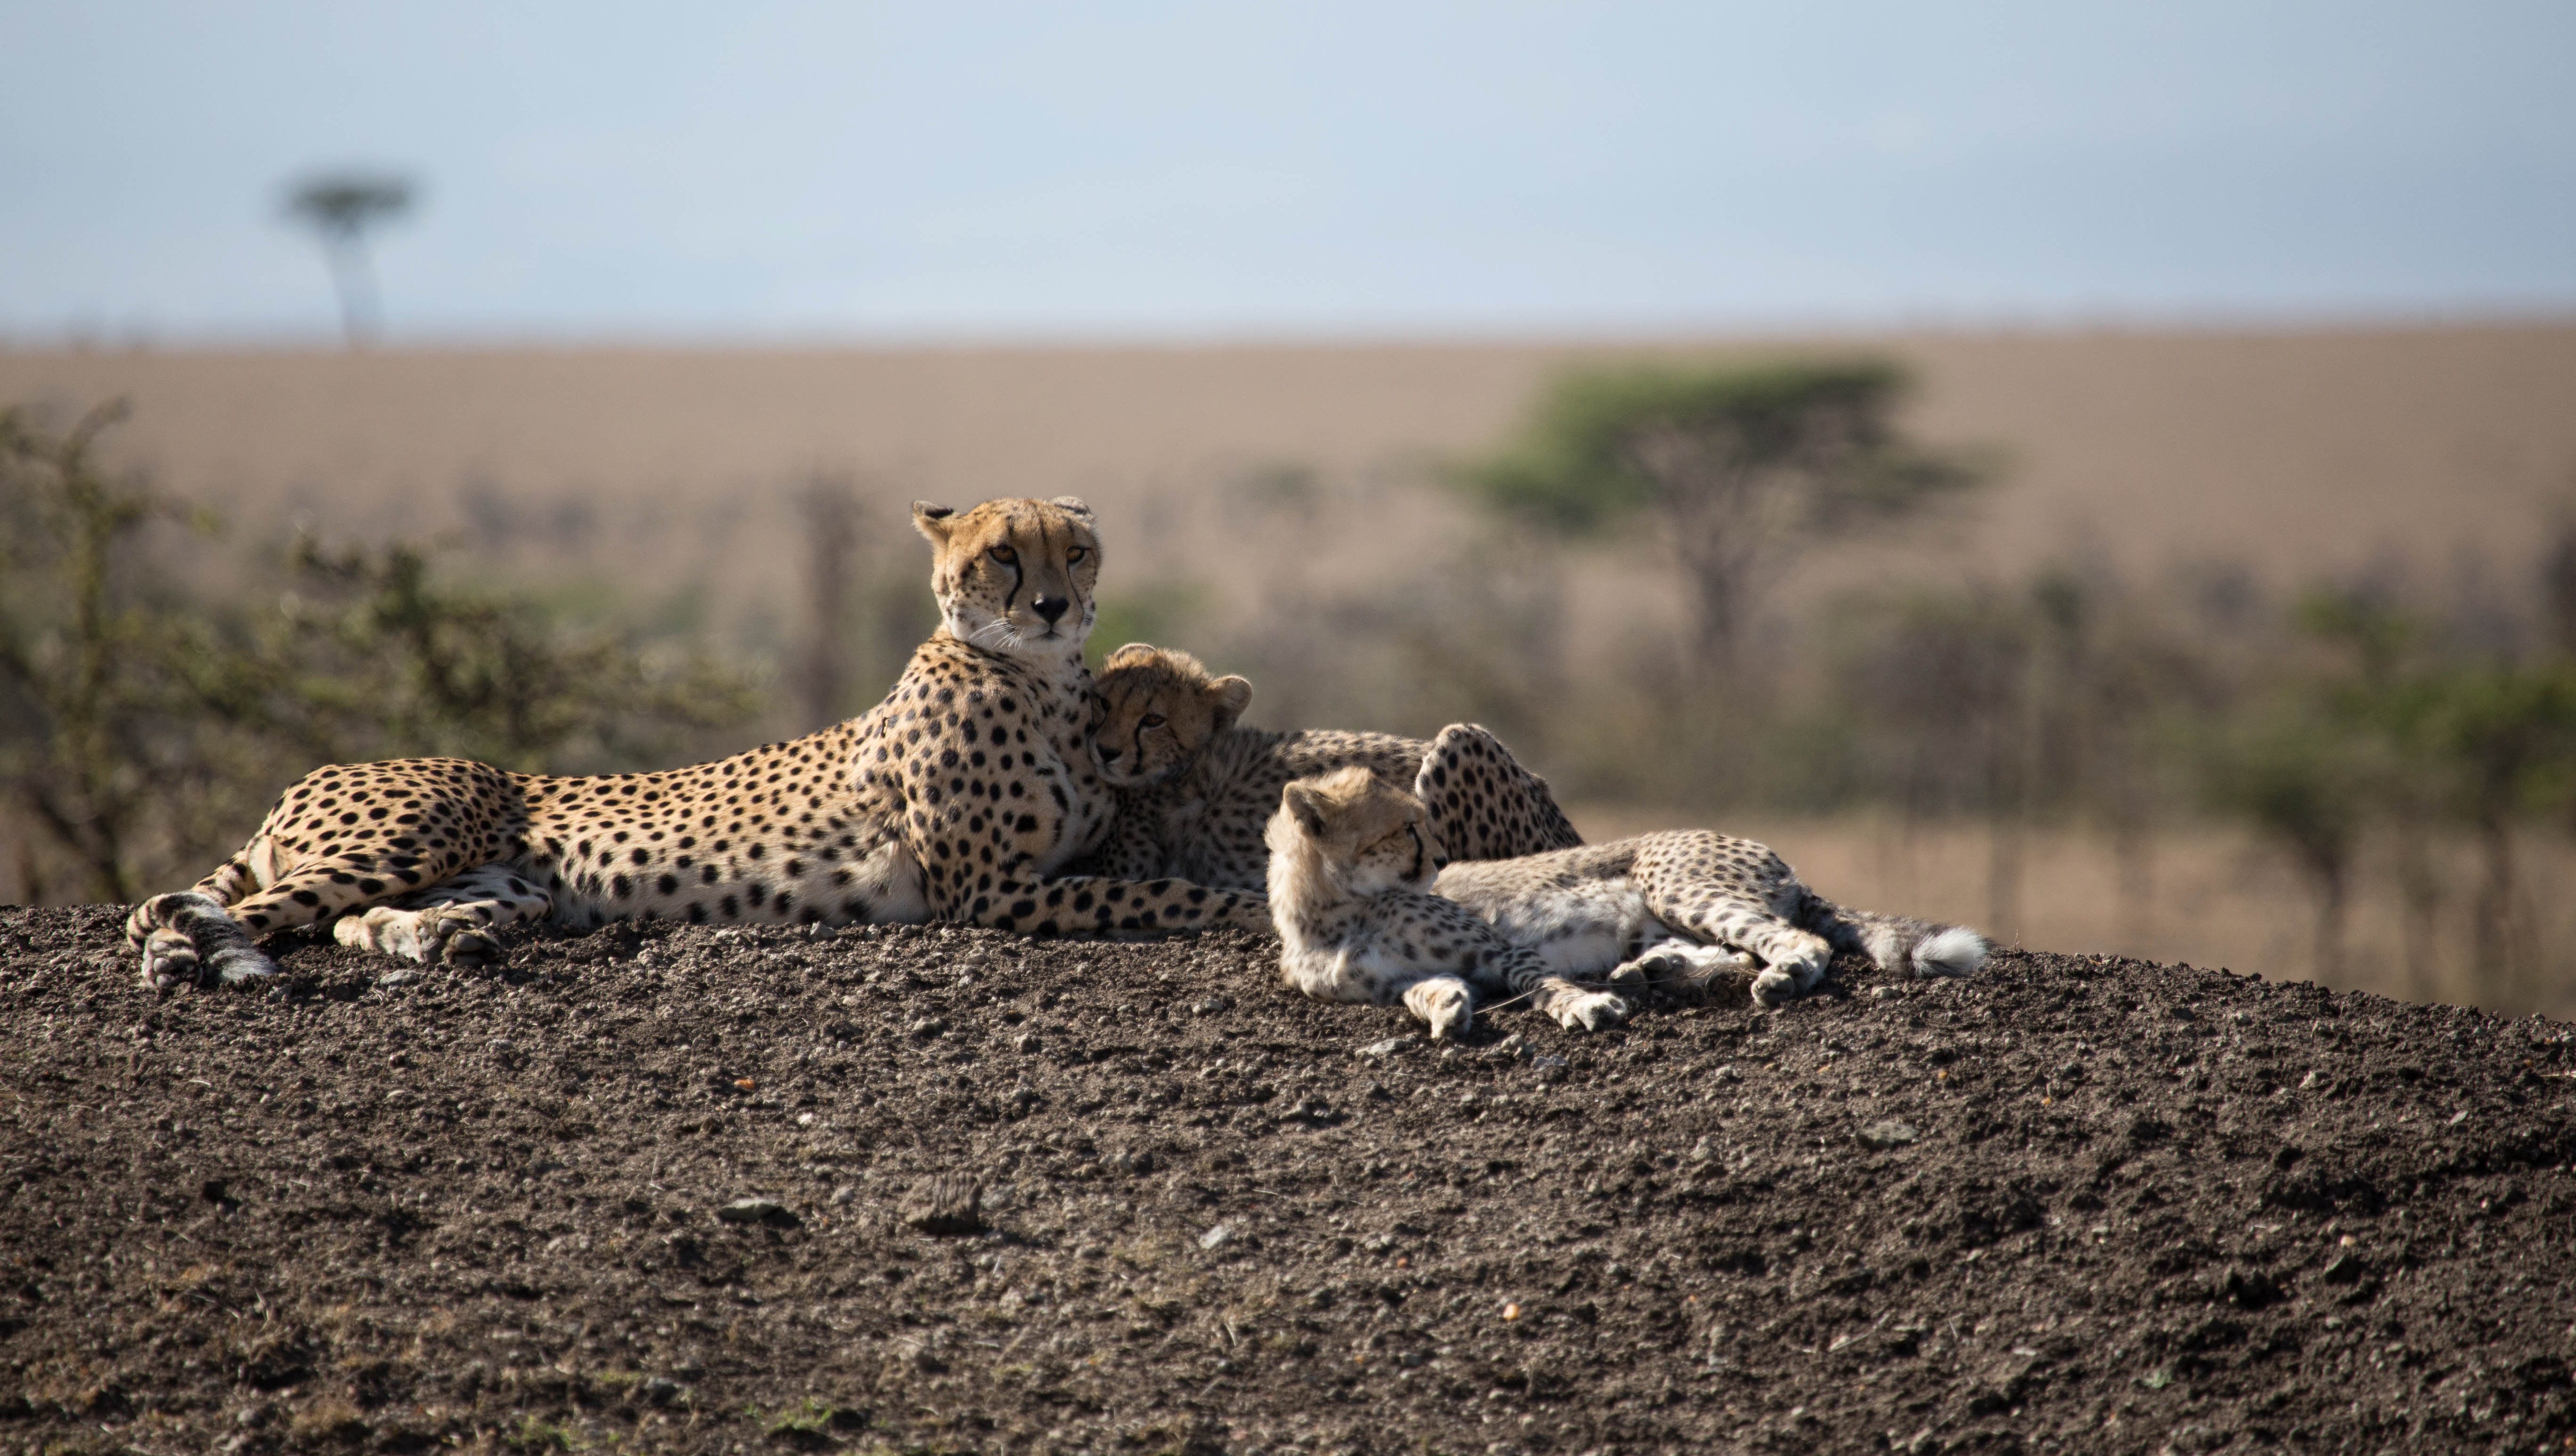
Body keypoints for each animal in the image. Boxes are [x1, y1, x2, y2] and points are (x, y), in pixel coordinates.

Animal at [125, 496, 1269, 989]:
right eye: (1002, 556)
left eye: (1074, 549)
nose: (1051, 604)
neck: (1039, 682)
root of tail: (311, 773)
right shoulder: (993, 894)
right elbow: (1165, 894)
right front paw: (1254, 907)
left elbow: (1153, 878)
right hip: (410, 836)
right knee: (219, 913)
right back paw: (195, 955)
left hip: (506, 883)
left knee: (351, 922)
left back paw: (442, 941)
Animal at [1264, 765, 1631, 1041]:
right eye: (1408, 828)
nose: (1442, 860)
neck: (1334, 915)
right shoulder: (1395, 982)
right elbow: (1422, 990)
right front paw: (1446, 1003)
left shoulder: (1498, 948)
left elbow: (1541, 979)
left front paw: (1580, 1004)